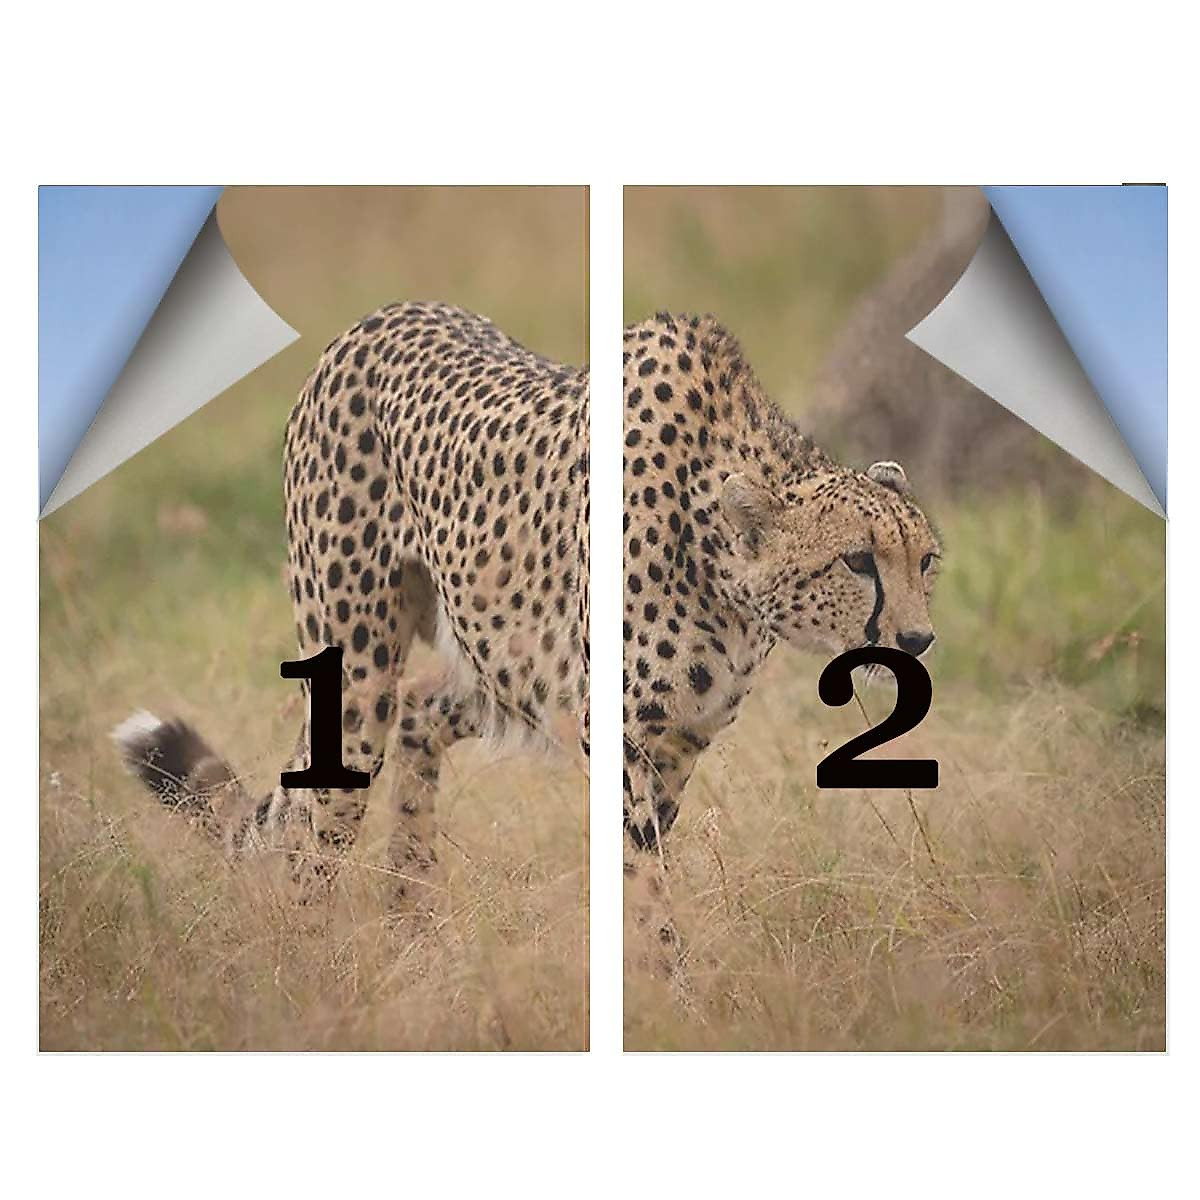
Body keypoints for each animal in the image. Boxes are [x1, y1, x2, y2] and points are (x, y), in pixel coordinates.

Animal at [114, 300, 589, 915]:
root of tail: (394, 311)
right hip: (359, 682)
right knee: (316, 829)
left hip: (498, 660)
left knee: (417, 714)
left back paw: (409, 907)